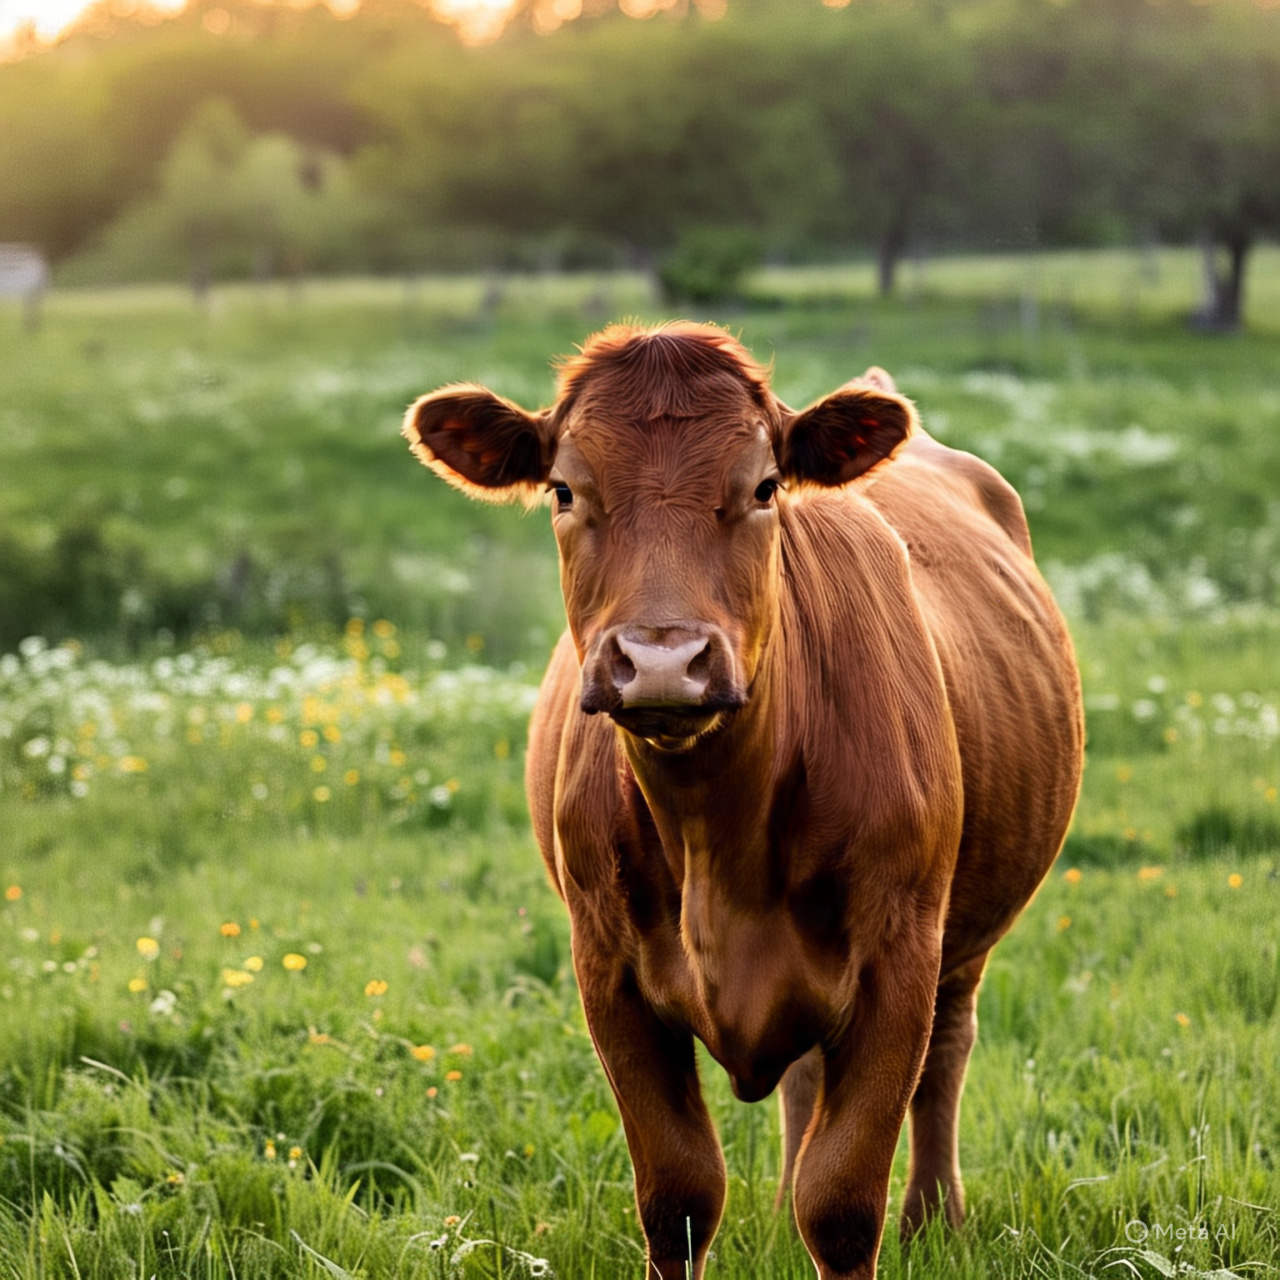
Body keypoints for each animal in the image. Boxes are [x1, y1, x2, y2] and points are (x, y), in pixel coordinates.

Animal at [402, 322, 1083, 1279]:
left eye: (763, 487)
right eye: (566, 489)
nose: (661, 660)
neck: (716, 834)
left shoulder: (898, 962)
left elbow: (843, 1204)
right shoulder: (606, 971)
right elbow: (680, 1197)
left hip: (962, 936)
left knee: (947, 1056)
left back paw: (932, 1218)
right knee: (805, 1080)